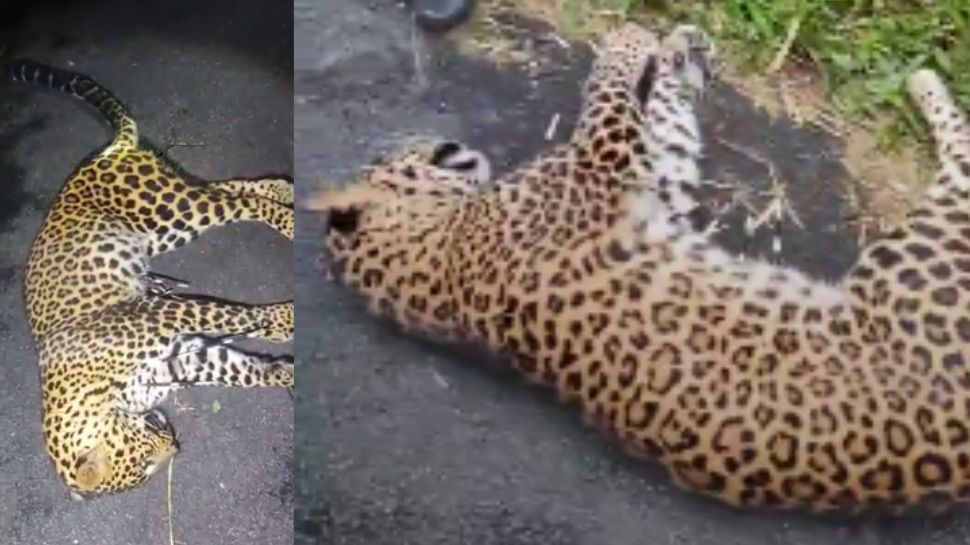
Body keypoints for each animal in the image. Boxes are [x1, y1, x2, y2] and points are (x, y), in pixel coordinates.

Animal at [7, 60, 295, 498]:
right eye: (147, 470)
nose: (175, 447)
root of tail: (106, 152)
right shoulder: (183, 358)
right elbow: (240, 368)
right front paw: (284, 369)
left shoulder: (165, 314)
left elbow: (235, 316)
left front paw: (287, 323)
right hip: (166, 221)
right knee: (228, 189)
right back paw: (281, 187)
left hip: (169, 210)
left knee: (242, 202)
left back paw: (291, 221)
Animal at [310, 20, 970, 513]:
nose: (428, 137)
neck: (434, 253)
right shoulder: (602, 165)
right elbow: (610, 98)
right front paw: (634, 38)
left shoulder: (660, 187)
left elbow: (668, 125)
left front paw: (679, 49)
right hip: (930, 248)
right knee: (961, 157)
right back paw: (924, 78)